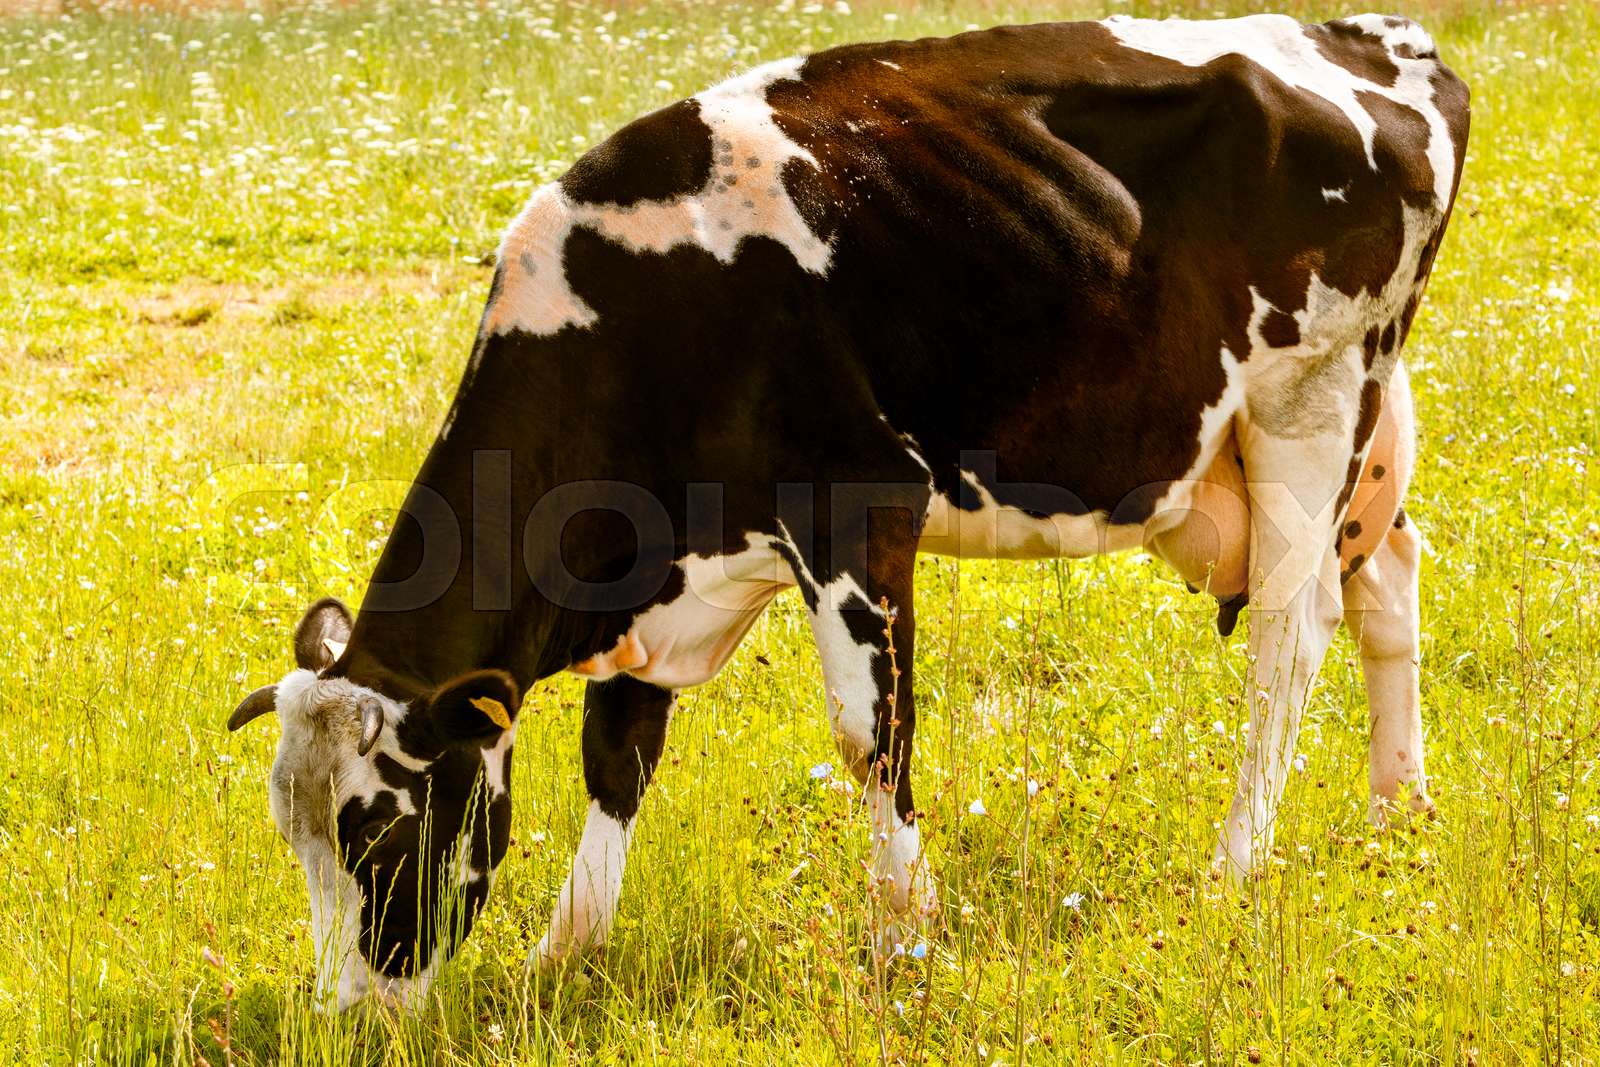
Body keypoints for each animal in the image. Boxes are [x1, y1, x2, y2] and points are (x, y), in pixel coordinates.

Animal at [228, 13, 1468, 1010]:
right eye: (291, 836)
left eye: (381, 828)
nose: (349, 1010)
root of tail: (1370, 36)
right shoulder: (649, 554)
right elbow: (615, 753)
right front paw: (562, 951)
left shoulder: (854, 504)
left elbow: (872, 732)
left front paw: (904, 931)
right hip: (1334, 445)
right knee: (1388, 579)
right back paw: (1397, 808)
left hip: (1309, 400)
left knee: (1289, 638)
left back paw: (1234, 861)